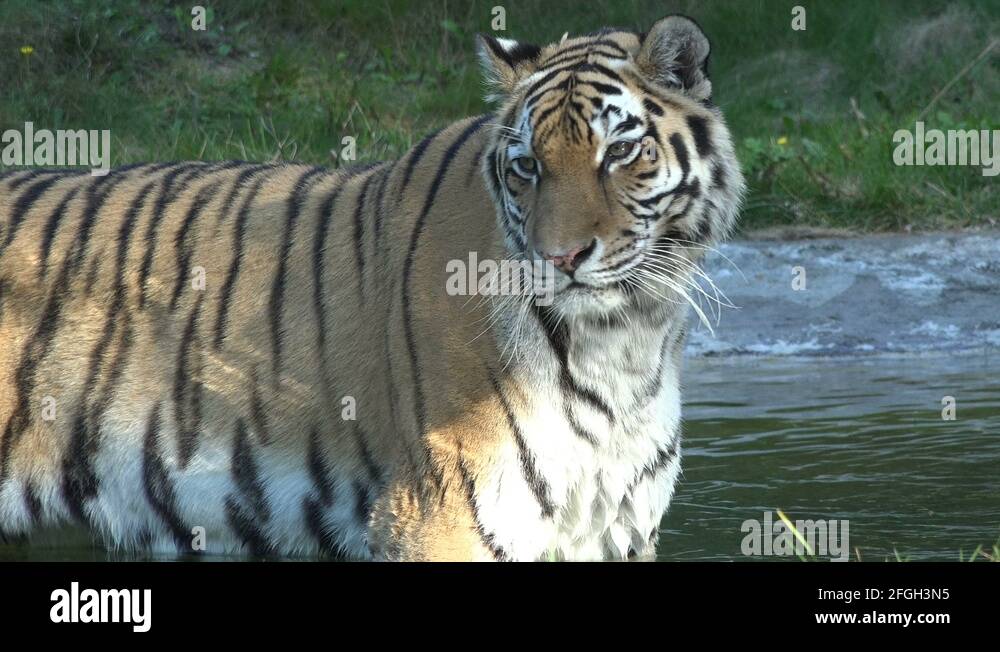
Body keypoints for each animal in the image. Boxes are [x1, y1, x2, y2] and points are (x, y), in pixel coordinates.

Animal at [0, 15, 744, 561]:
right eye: (528, 166)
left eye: (619, 151)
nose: (558, 257)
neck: (627, 338)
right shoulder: (442, 514)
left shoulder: (612, 528)